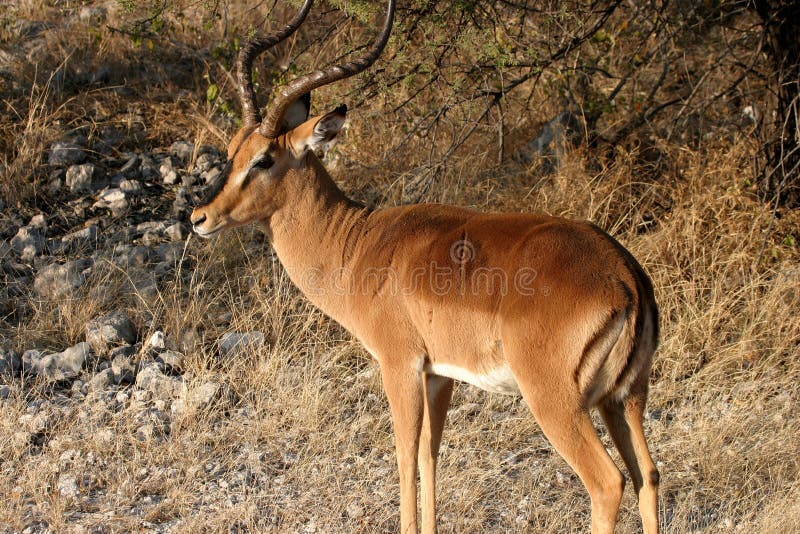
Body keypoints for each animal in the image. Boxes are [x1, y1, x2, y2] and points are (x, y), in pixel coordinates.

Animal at [189, 1, 660, 532]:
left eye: (264, 159)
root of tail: (626, 279)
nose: (200, 217)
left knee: (608, 482)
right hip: (624, 398)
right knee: (647, 476)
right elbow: (430, 456)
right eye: (233, 149)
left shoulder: (400, 364)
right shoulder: (439, 374)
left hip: (556, 401)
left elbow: (403, 456)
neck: (357, 245)